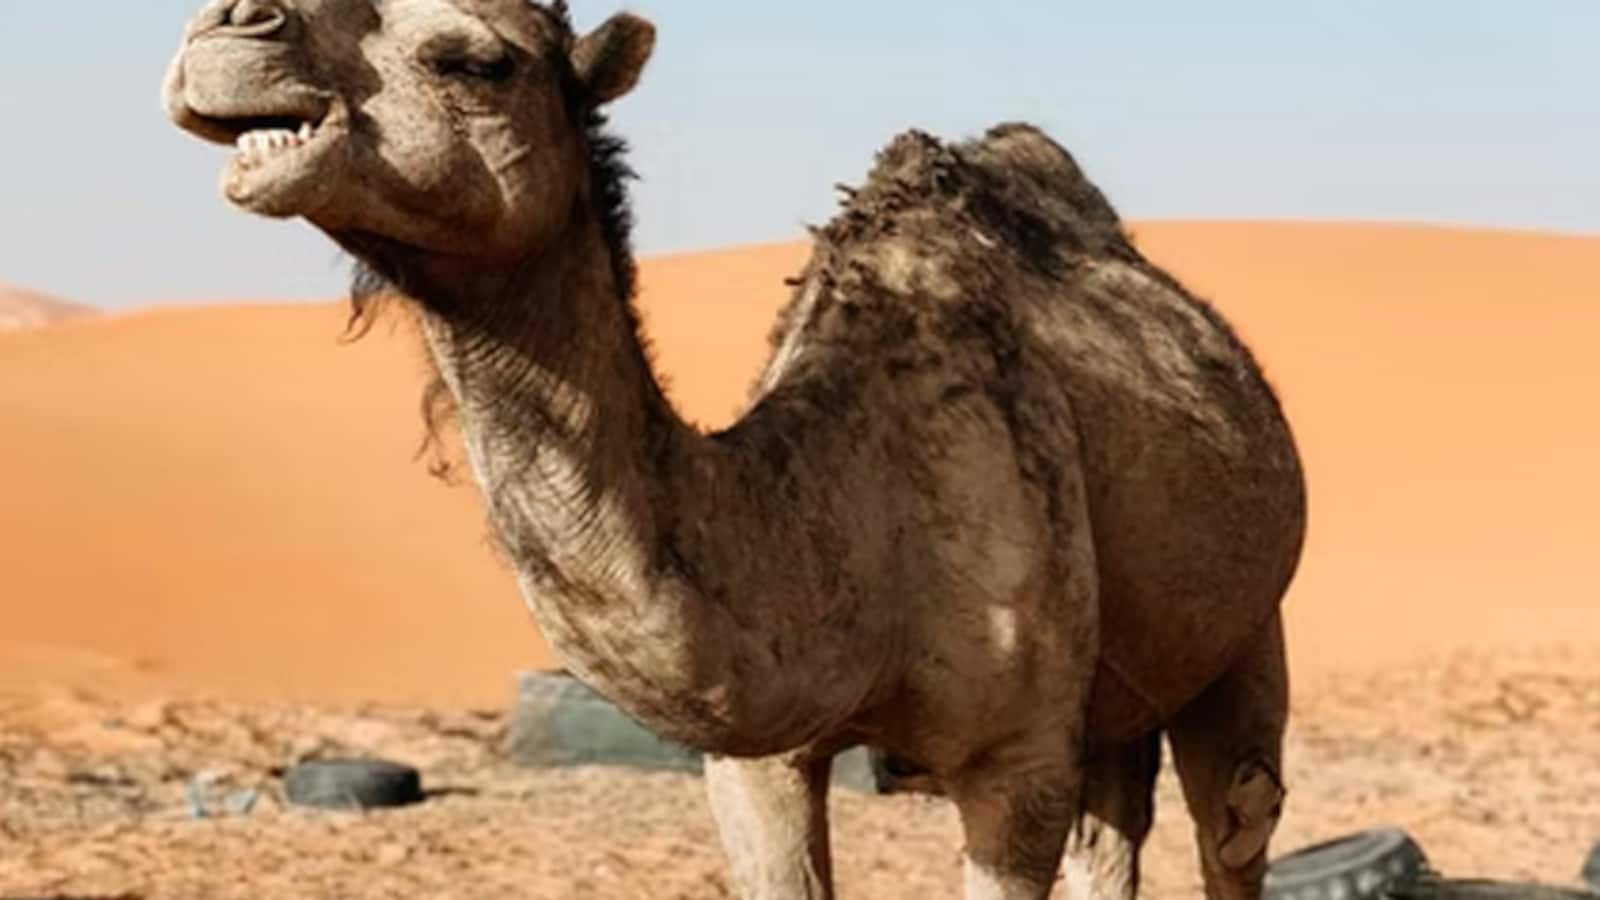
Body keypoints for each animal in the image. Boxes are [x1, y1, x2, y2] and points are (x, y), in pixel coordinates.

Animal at [162, 2, 1308, 897]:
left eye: (476, 61)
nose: (229, 24)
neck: (855, 525)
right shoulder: (755, 761)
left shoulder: (1012, 763)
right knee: (1116, 826)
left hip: (1249, 625)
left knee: (1236, 818)